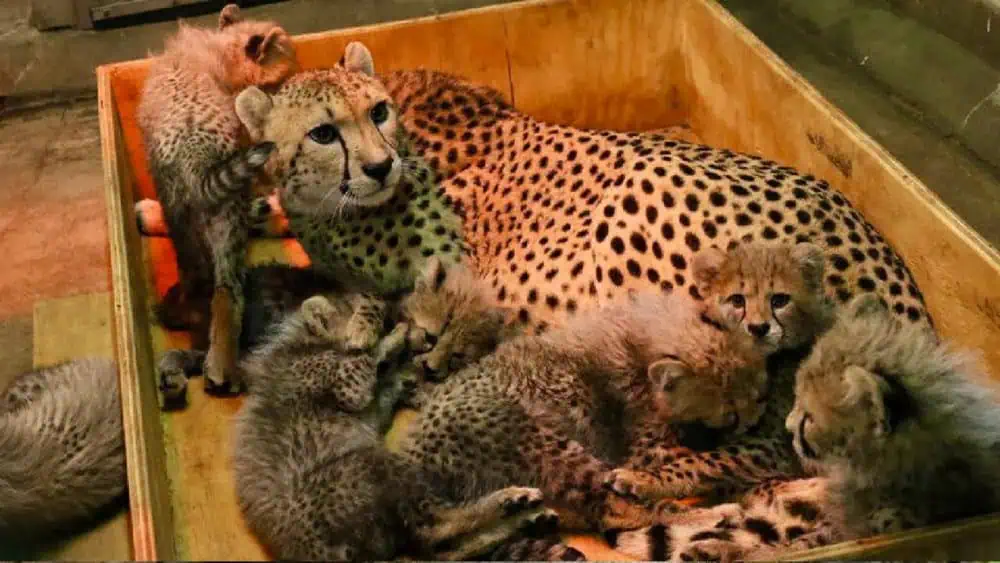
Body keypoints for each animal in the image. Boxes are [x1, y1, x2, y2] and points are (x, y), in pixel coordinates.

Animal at [138, 3, 298, 396]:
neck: (219, 47)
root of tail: (193, 160)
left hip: (183, 220)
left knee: (201, 281)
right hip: (225, 222)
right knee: (226, 291)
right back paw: (223, 369)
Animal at [233, 267, 581, 561]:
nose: (396, 313)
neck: (301, 341)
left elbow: (385, 383)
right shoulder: (348, 385)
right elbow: (367, 360)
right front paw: (393, 339)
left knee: (440, 546)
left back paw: (526, 516)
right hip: (377, 469)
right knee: (434, 530)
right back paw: (514, 502)